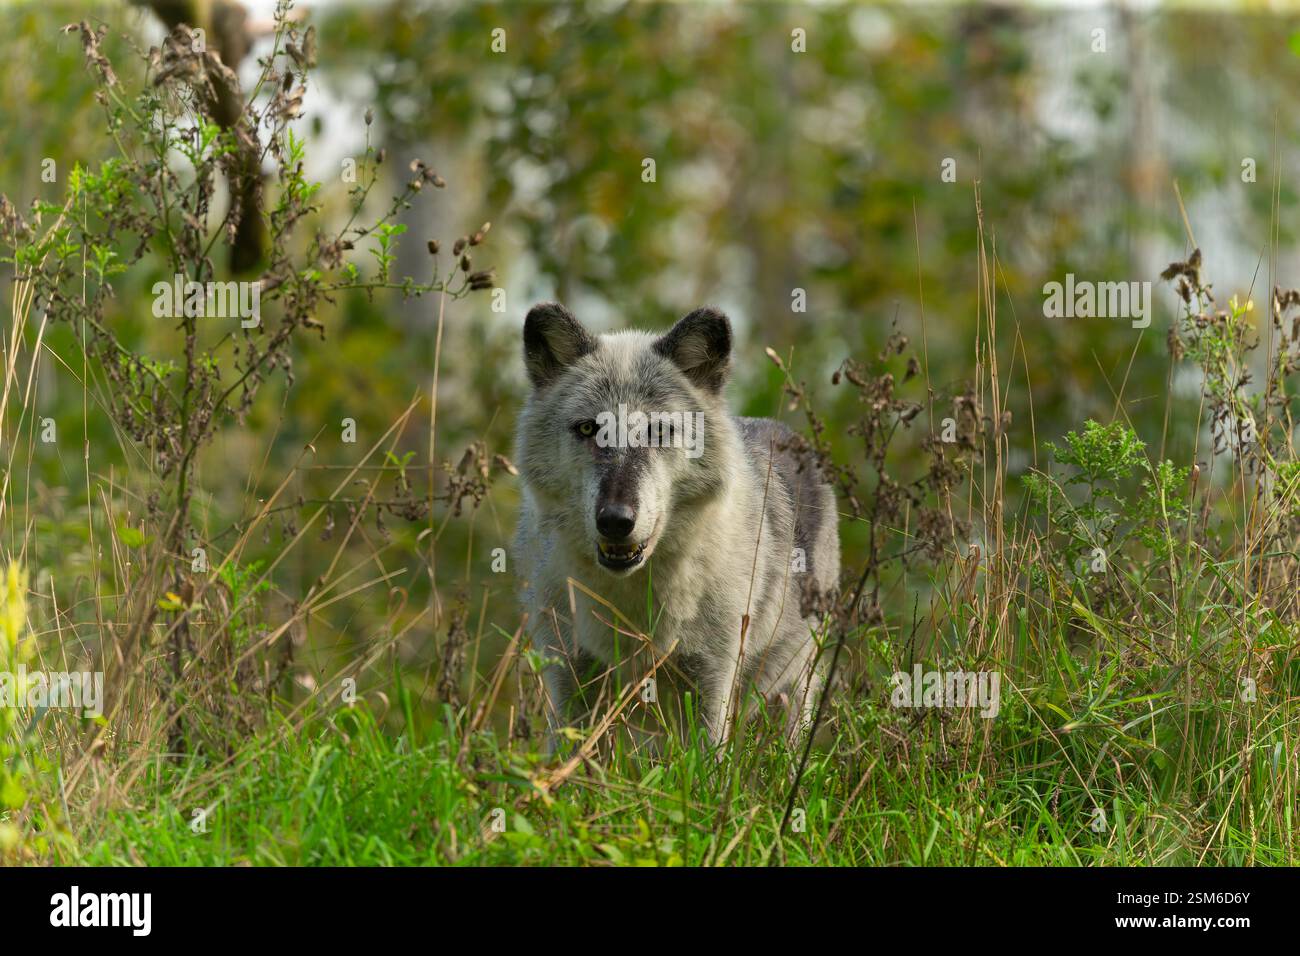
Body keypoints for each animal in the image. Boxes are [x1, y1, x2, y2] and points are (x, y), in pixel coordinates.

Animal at [514, 303, 840, 749]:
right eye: (587, 428)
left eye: (658, 430)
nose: (616, 520)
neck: (633, 599)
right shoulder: (569, 678)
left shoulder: (711, 685)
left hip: (792, 693)